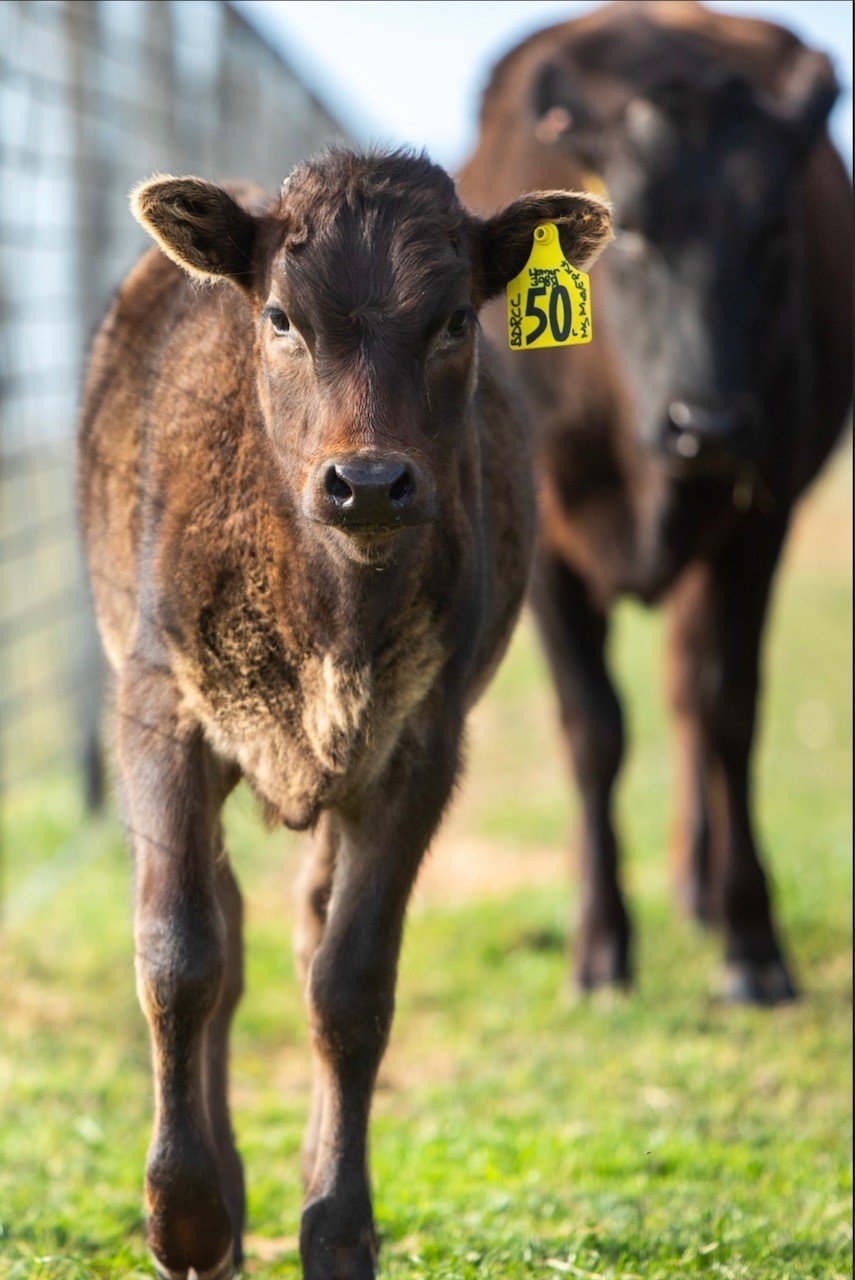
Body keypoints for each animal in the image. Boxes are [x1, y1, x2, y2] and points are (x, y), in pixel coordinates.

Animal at [77, 149, 612, 1280]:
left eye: (453, 320)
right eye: (281, 317)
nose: (367, 483)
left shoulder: (421, 743)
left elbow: (350, 986)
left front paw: (336, 1227)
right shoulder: (157, 707)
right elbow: (179, 954)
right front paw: (187, 1218)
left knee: (304, 930)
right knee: (228, 928)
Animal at [458, 0, 852, 1004]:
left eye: (773, 230)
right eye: (628, 229)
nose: (704, 422)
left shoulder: (758, 516)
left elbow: (725, 707)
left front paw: (752, 944)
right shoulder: (540, 540)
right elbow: (590, 728)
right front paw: (600, 943)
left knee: (684, 693)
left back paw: (698, 888)